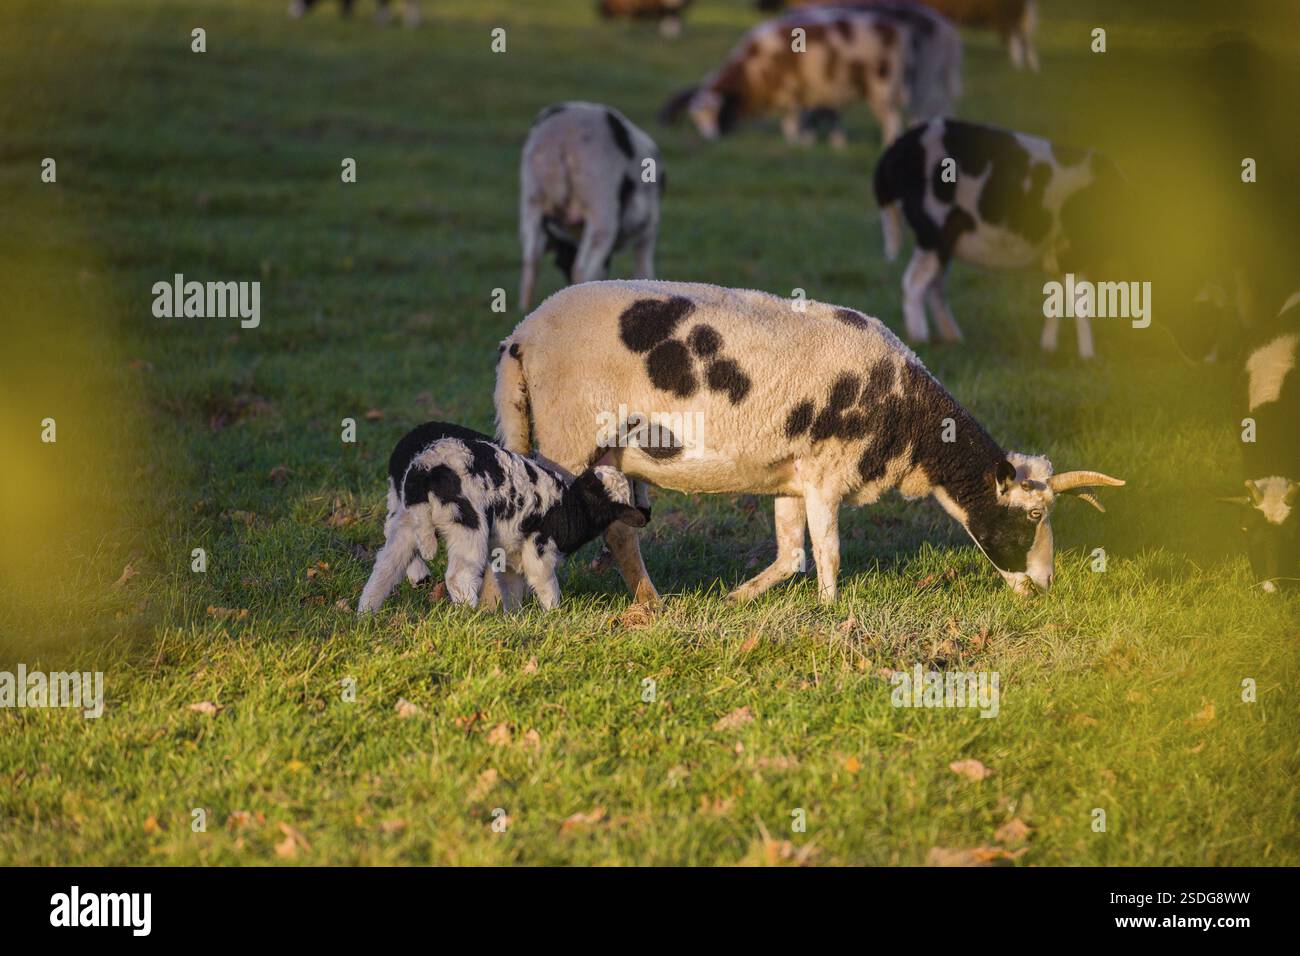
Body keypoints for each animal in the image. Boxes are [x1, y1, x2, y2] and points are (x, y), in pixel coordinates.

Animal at [356, 421, 647, 613]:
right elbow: (546, 583)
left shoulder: (511, 557)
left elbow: (513, 590)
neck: (571, 507)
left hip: (407, 520)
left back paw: (366, 611)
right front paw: (554, 615)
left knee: (386, 565)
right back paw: (470, 615)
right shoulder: (538, 548)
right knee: (458, 575)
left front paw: (513, 618)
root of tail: (426, 466)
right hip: (468, 524)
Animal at [495, 280, 1124, 604]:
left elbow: (790, 555)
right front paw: (831, 615)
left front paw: (736, 602)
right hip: (569, 434)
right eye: (1034, 514)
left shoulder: (791, 476)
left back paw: (651, 607)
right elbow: (827, 553)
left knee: (621, 533)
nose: (1043, 586)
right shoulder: (826, 473)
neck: (913, 421)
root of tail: (522, 334)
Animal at [519, 102, 665, 313]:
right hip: (601, 206)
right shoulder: (649, 226)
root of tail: (561, 138)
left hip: (532, 201)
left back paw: (525, 309)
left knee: (531, 260)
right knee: (582, 269)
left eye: (559, 263)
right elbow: (643, 267)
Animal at [660, 3, 961, 148]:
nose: (709, 138)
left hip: (886, 87)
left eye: (711, 113)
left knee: (894, 122)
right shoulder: (803, 94)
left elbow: (793, 121)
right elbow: (801, 119)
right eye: (695, 118)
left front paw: (798, 143)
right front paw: (811, 141)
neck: (752, 72)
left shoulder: (792, 90)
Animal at [873, 117, 1129, 358]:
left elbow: (1056, 295)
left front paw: (1049, 348)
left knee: (934, 285)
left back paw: (953, 338)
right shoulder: (1074, 249)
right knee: (913, 283)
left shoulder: (1057, 252)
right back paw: (920, 339)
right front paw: (1088, 356)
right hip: (933, 228)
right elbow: (1080, 300)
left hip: (945, 240)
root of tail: (894, 153)